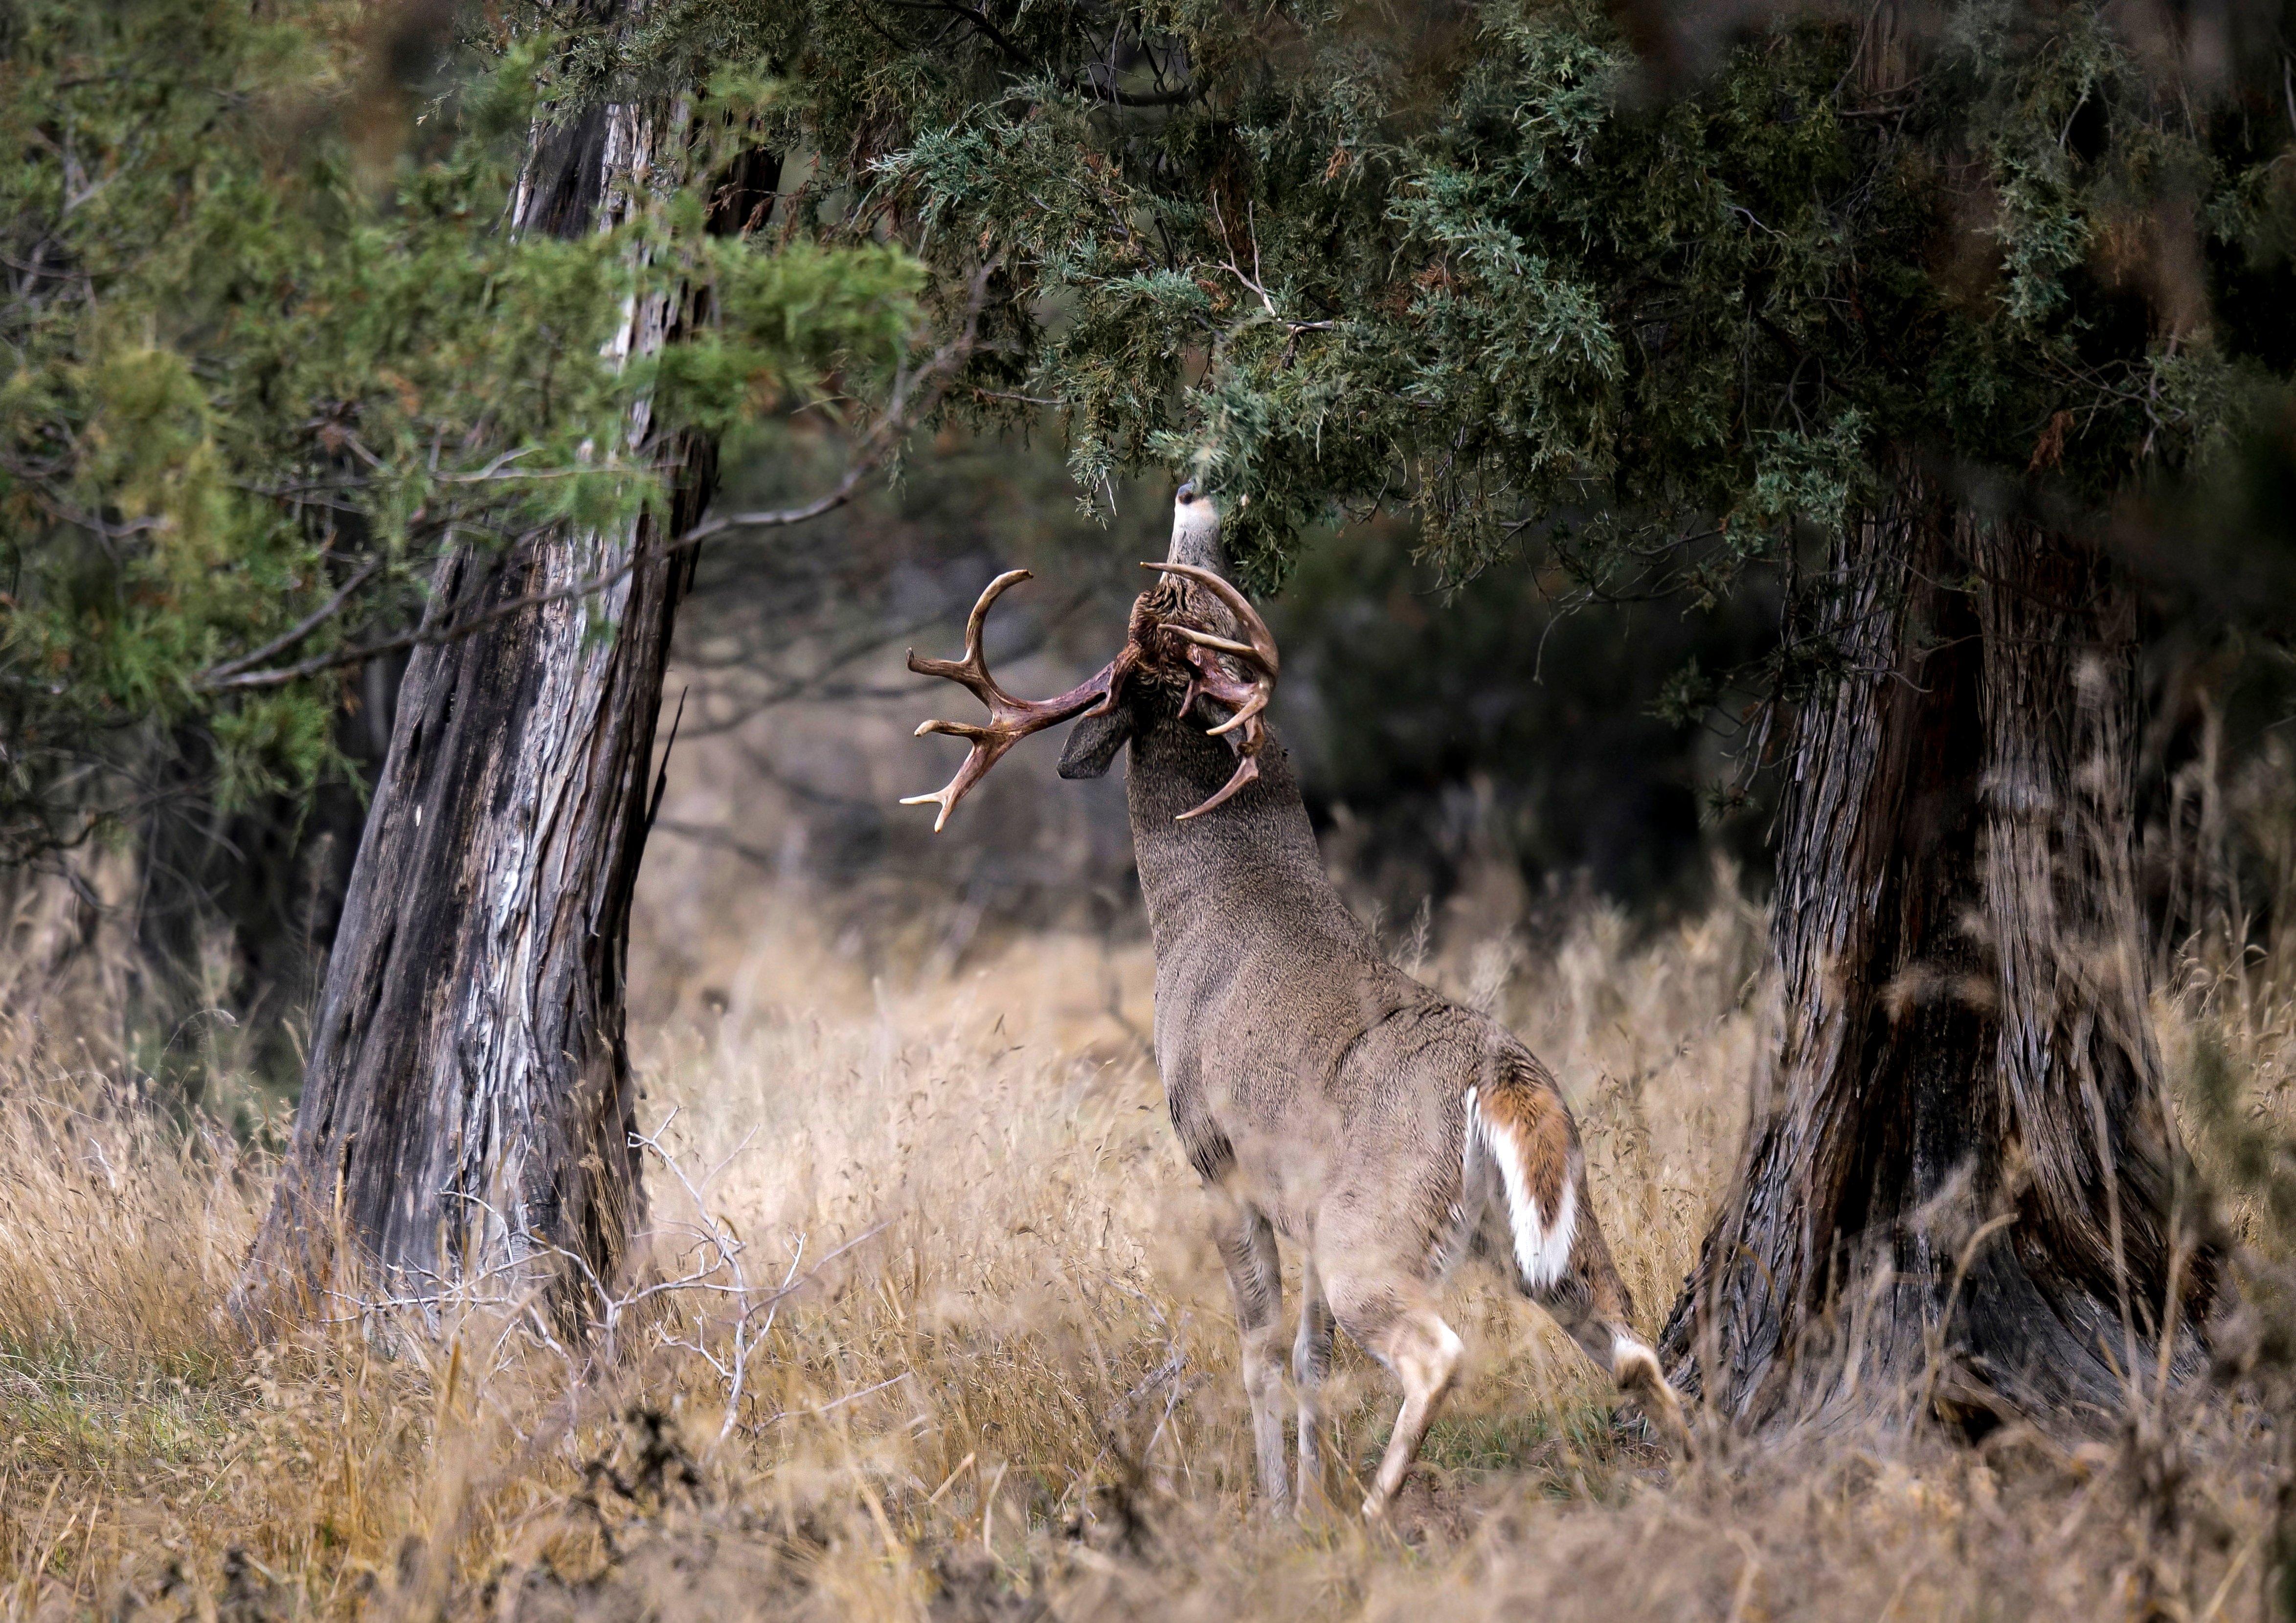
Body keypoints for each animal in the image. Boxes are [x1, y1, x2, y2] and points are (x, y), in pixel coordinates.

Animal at [895, 482, 1689, 1524]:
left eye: (1177, 608)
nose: (1193, 492)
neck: (1223, 892)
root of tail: (1497, 1074)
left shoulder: (1217, 1159)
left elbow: (1261, 1349)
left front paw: (1277, 1509)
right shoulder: (1301, 1200)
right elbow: (1311, 1355)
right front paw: (1304, 1496)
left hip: (1375, 1220)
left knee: (1437, 1353)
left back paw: (1373, 1514)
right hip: (1554, 1228)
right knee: (1633, 1346)